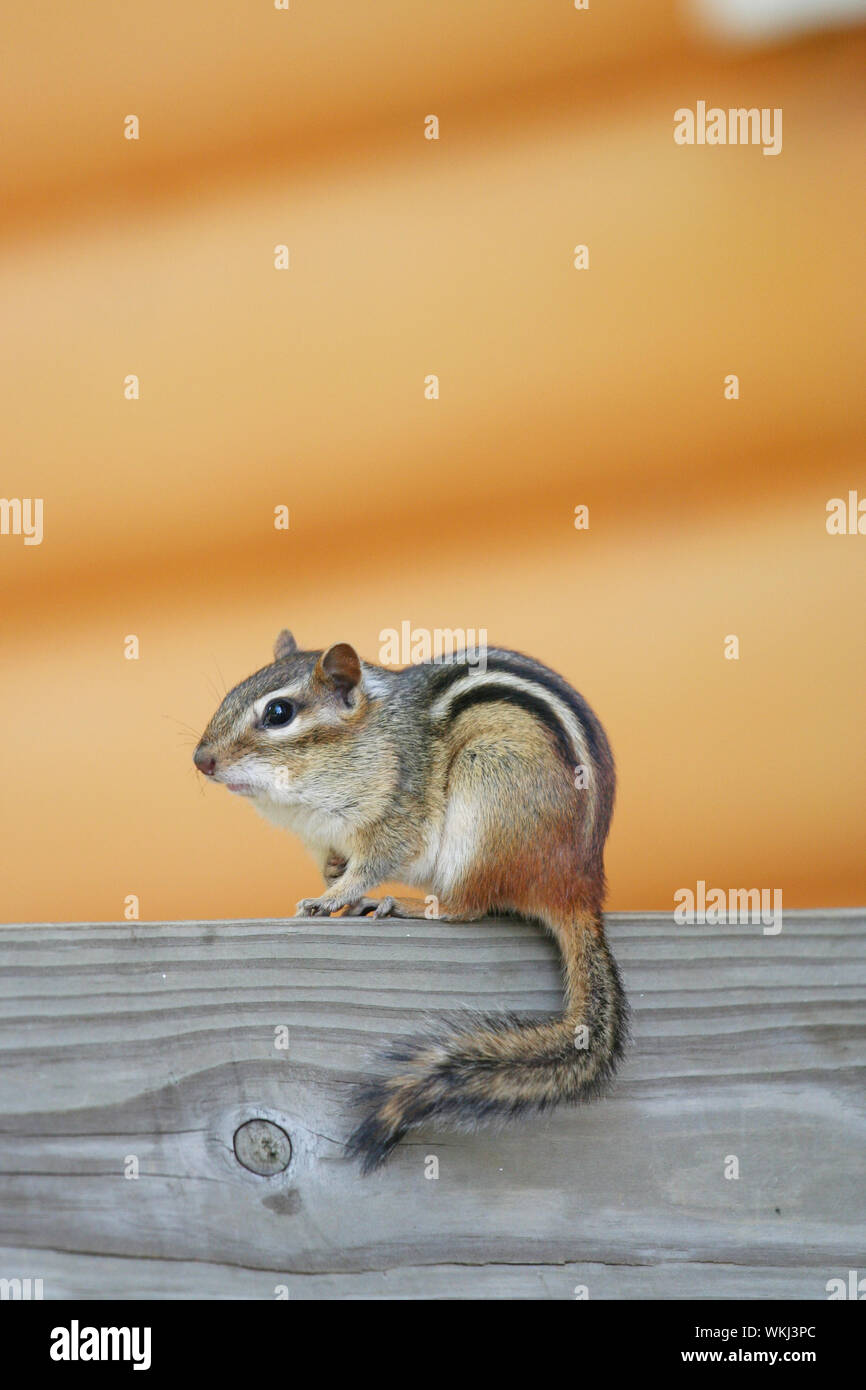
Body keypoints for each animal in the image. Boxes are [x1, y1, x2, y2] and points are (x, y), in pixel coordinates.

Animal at [194, 629, 628, 1172]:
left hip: (487, 793)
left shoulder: (398, 815)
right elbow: (339, 863)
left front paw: (331, 898)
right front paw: (336, 882)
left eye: (278, 713)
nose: (202, 760)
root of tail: (579, 887)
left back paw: (406, 905)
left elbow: (374, 863)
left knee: (468, 906)